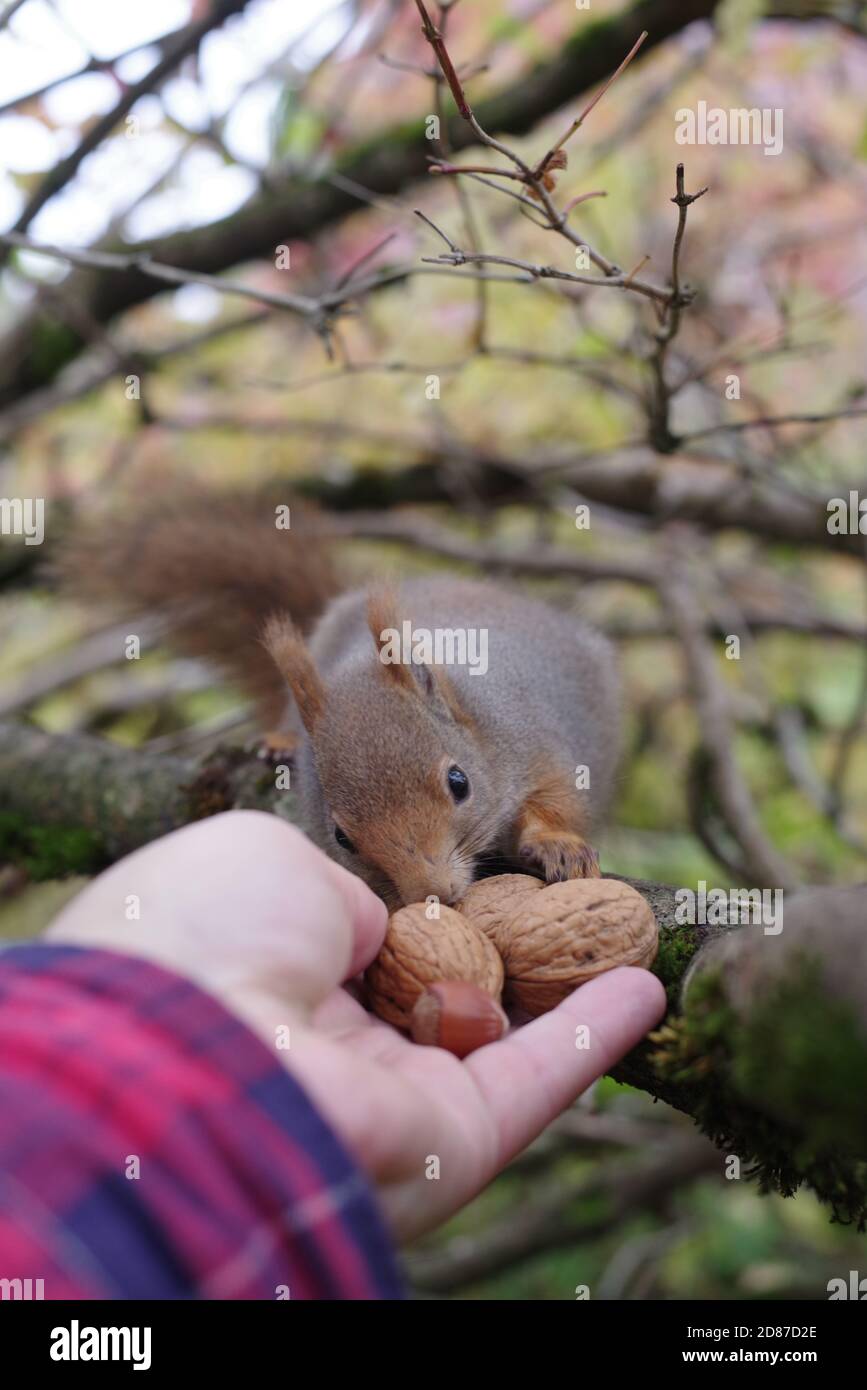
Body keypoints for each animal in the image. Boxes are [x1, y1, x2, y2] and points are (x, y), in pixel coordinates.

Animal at [60, 488, 621, 909]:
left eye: (459, 783)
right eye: (341, 837)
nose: (433, 892)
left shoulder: (532, 740)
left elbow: (557, 798)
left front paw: (556, 845)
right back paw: (281, 741)